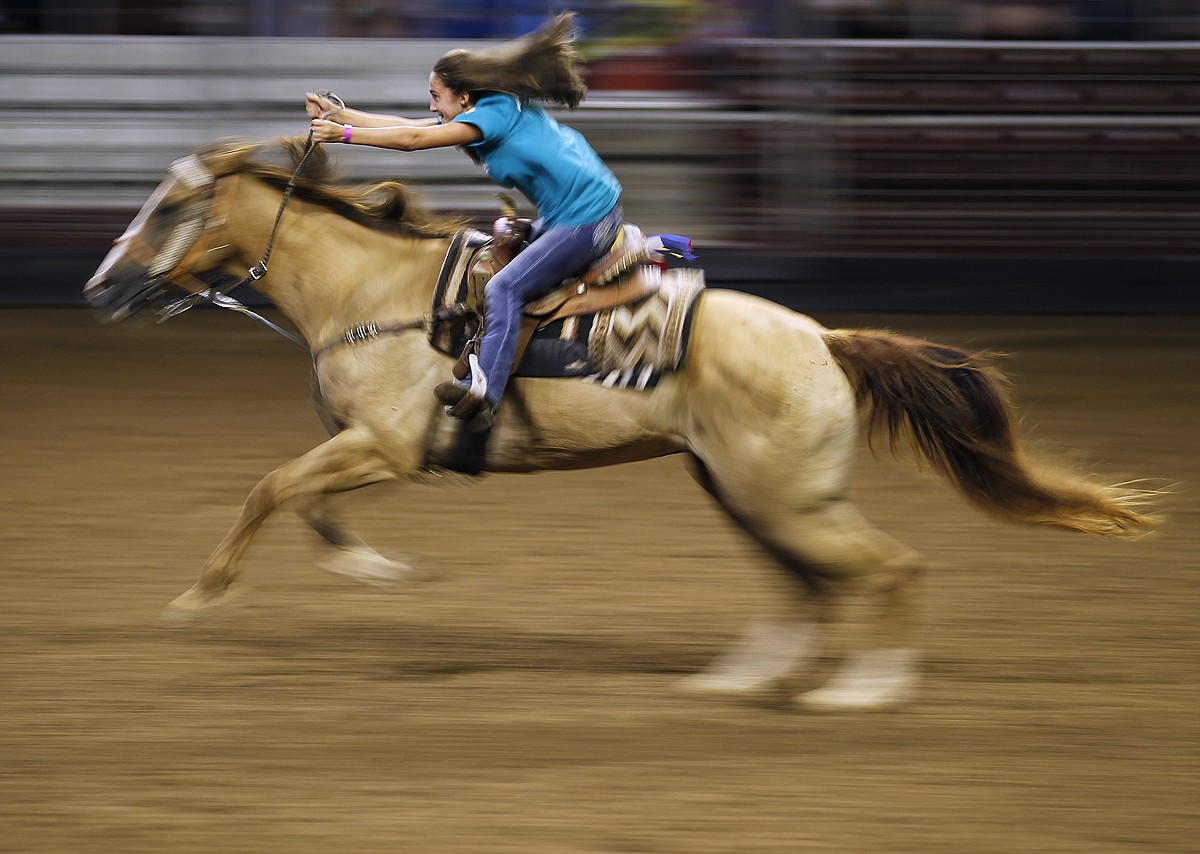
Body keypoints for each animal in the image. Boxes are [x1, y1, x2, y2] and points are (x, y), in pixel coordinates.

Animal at [83, 137, 1156, 711]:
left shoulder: (382, 446)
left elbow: (270, 488)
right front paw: (378, 569)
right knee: (805, 585)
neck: (373, 294)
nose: (98, 288)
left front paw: (202, 601)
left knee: (889, 568)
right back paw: (737, 681)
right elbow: (303, 503)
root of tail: (824, 336)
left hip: (788, 498)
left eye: (171, 207)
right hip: (745, 493)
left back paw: (861, 691)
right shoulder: (366, 450)